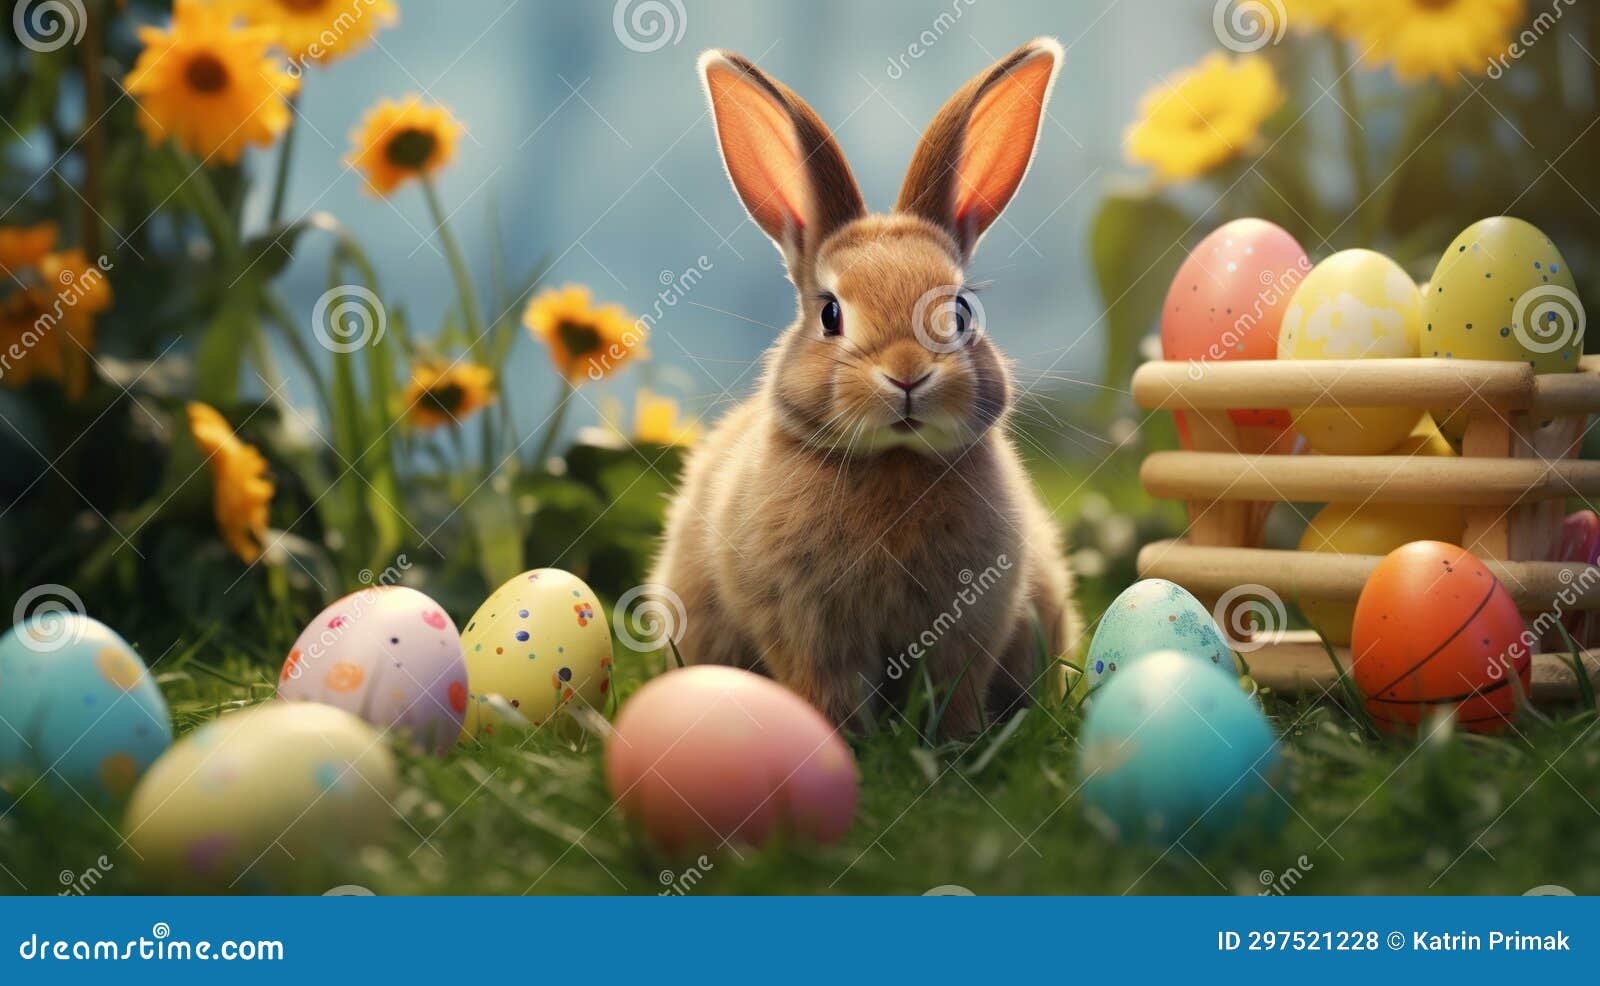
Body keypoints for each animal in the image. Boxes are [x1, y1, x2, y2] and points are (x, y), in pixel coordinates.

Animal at [648, 38, 1080, 735]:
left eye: (960, 311)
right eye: (830, 314)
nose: (907, 374)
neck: (894, 463)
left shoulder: (970, 622)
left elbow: (955, 686)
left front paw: (954, 742)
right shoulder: (807, 627)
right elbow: (826, 688)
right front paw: (842, 740)